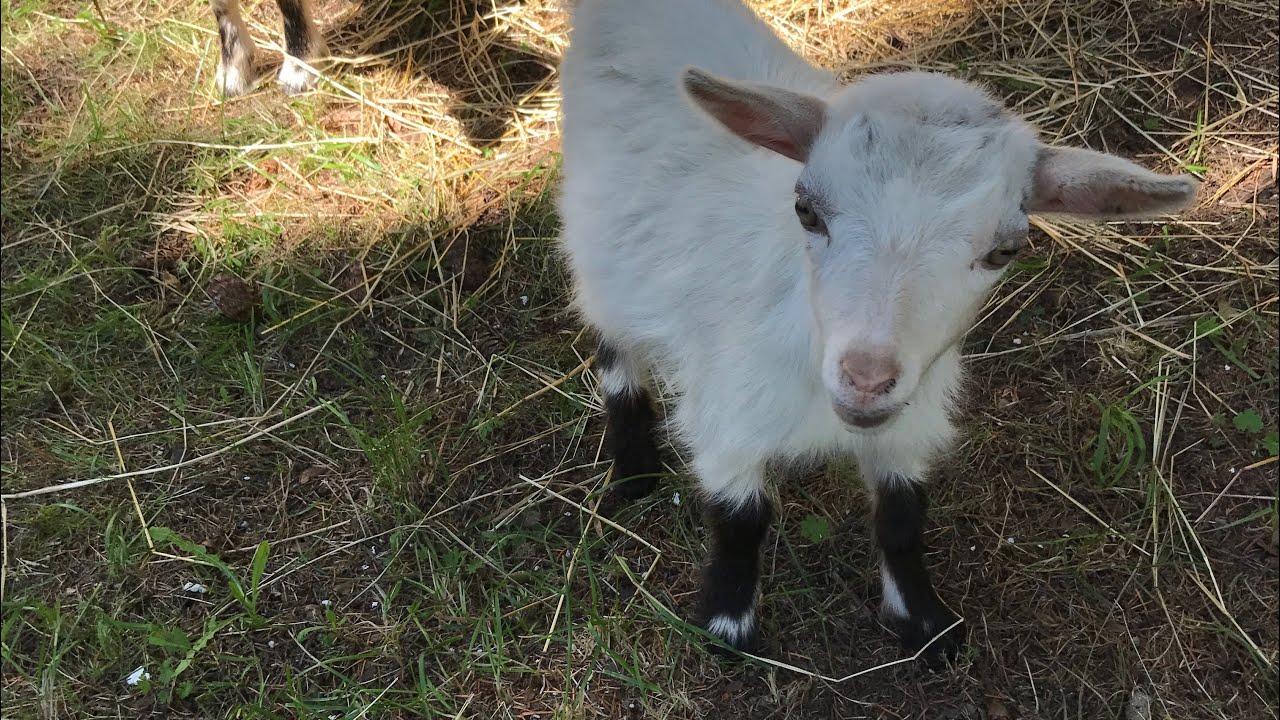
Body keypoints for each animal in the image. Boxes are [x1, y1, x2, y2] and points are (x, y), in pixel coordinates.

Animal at [556, 0, 1199, 661]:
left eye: (1005, 250)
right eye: (805, 210)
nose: (866, 379)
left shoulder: (908, 422)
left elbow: (902, 517)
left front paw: (925, 621)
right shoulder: (727, 412)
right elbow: (739, 518)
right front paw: (727, 624)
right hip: (594, 239)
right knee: (610, 334)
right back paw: (634, 463)